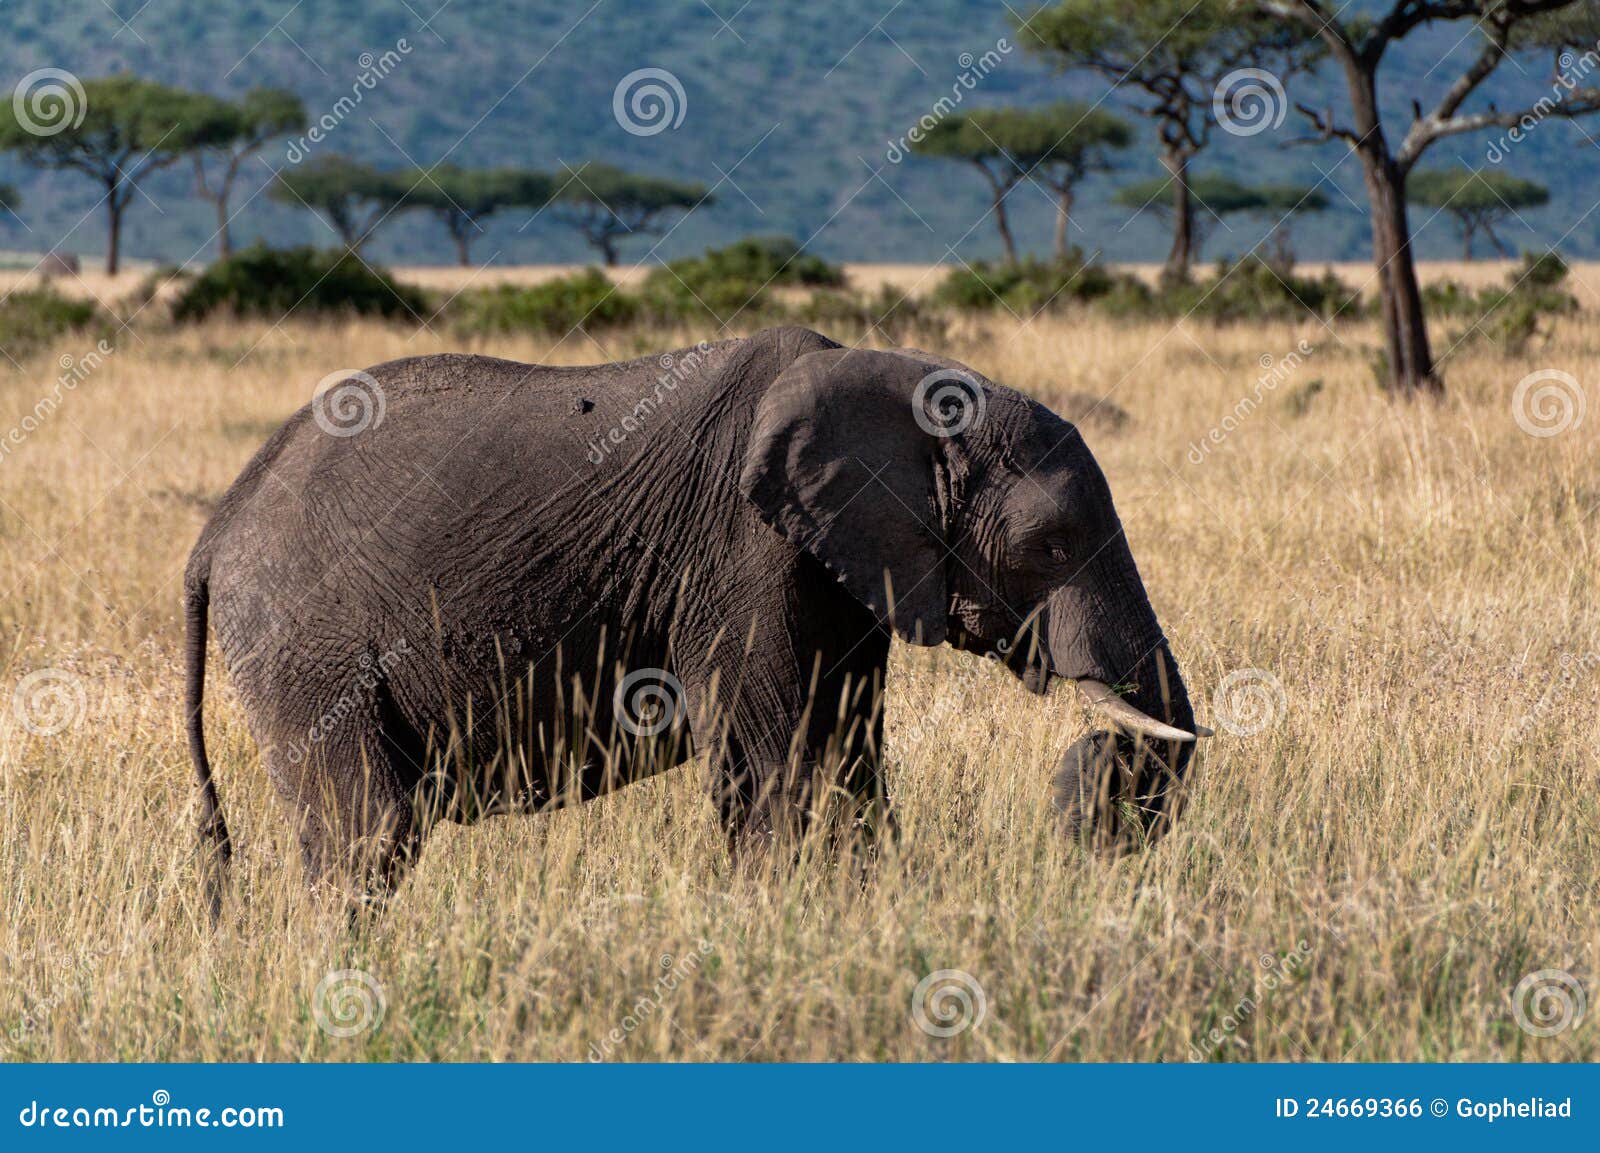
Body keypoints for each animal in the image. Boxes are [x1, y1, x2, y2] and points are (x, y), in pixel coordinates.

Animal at [184, 325, 1205, 916]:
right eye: (1049, 544)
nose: (1093, 787)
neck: (908, 384)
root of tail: (216, 532)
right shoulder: (741, 552)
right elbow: (781, 760)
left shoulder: (831, 562)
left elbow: (844, 752)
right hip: (306, 645)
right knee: (372, 831)